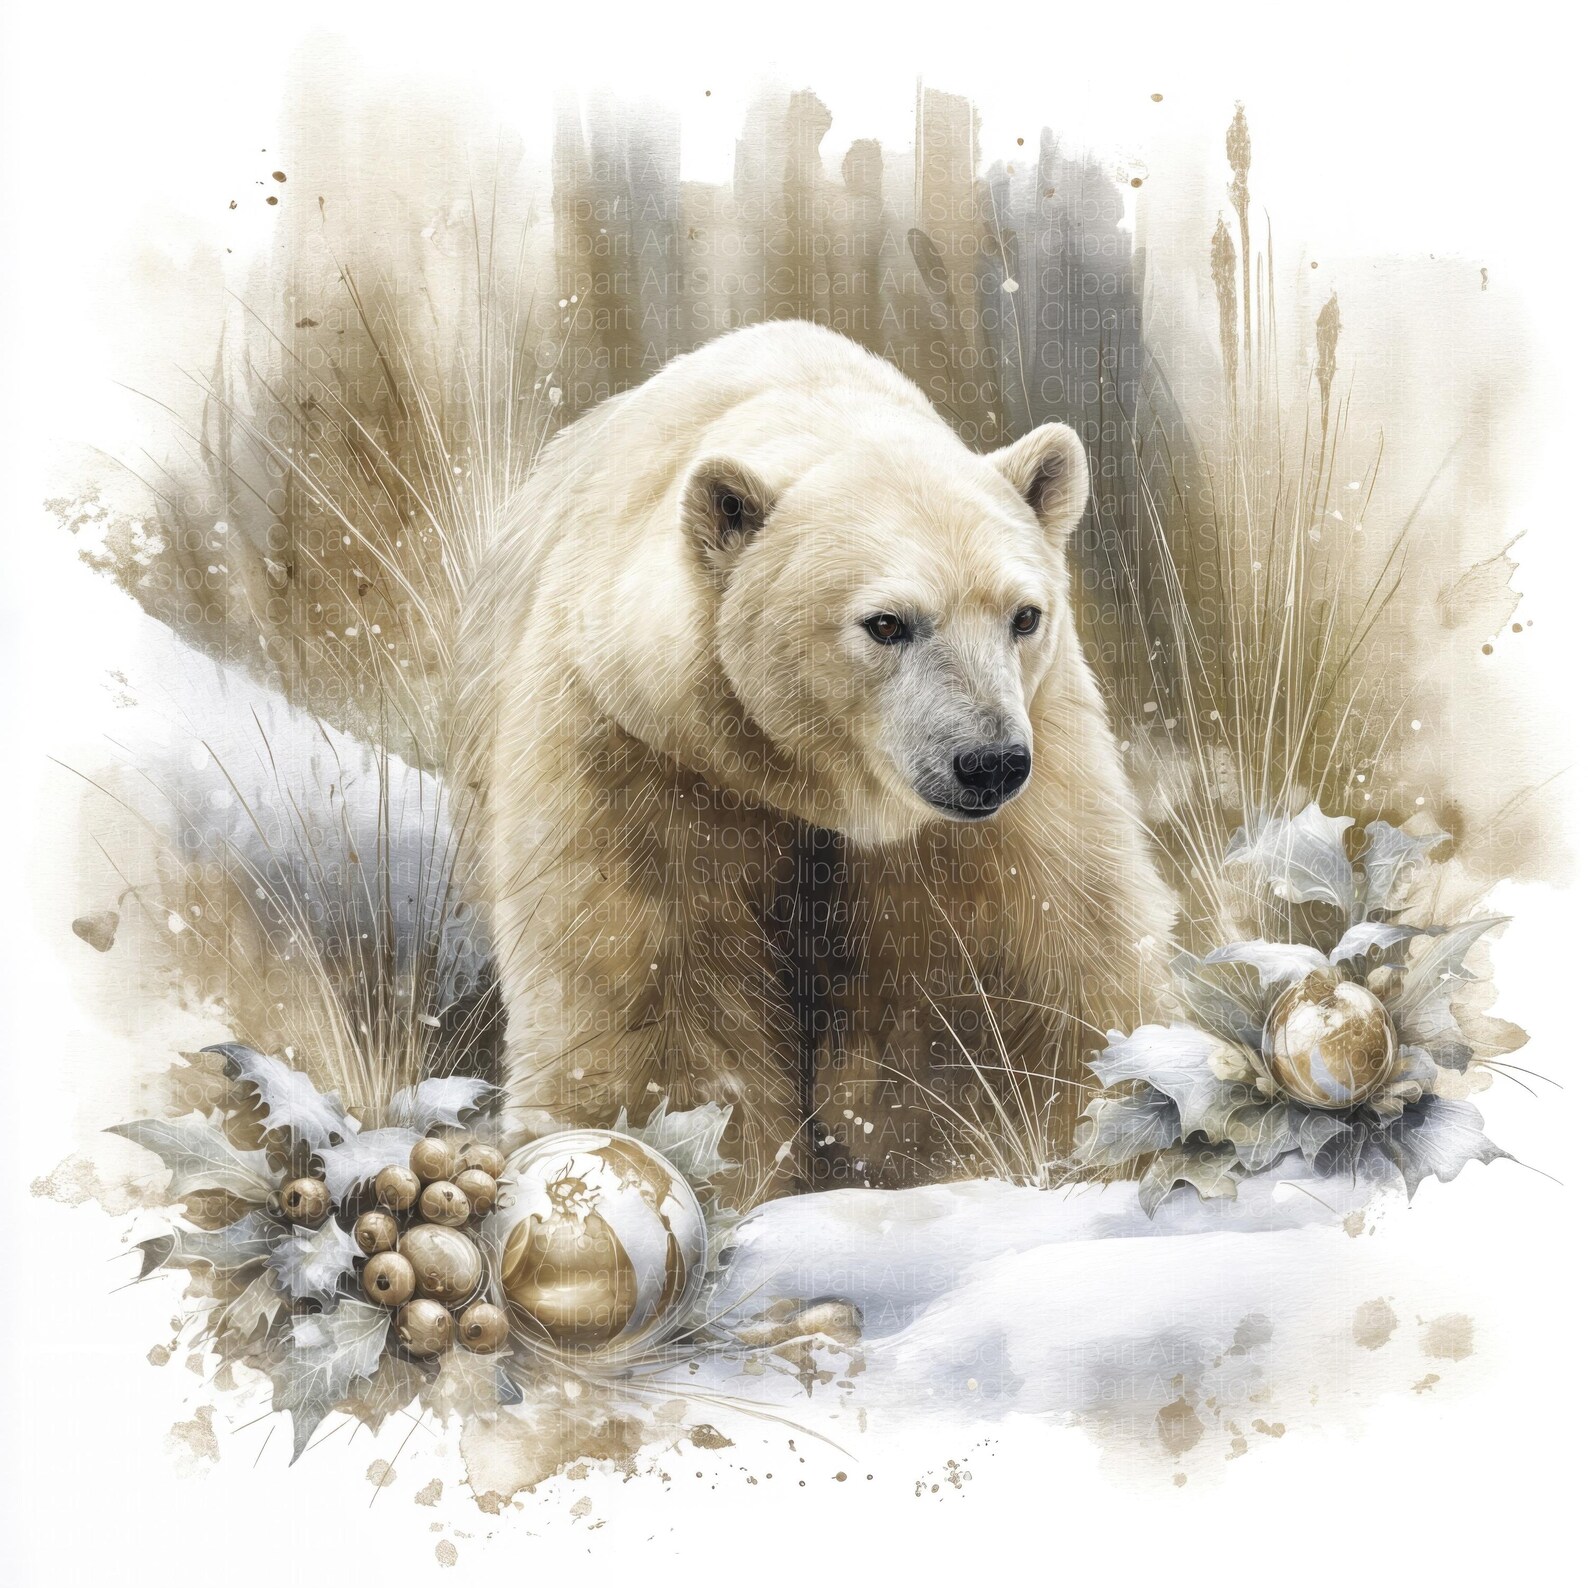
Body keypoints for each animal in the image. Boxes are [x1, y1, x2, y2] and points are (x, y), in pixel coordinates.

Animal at [452, 320, 1174, 1201]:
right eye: (886, 622)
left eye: (1024, 615)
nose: (988, 762)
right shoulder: (636, 745)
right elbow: (654, 995)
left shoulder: (1027, 779)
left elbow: (1040, 964)